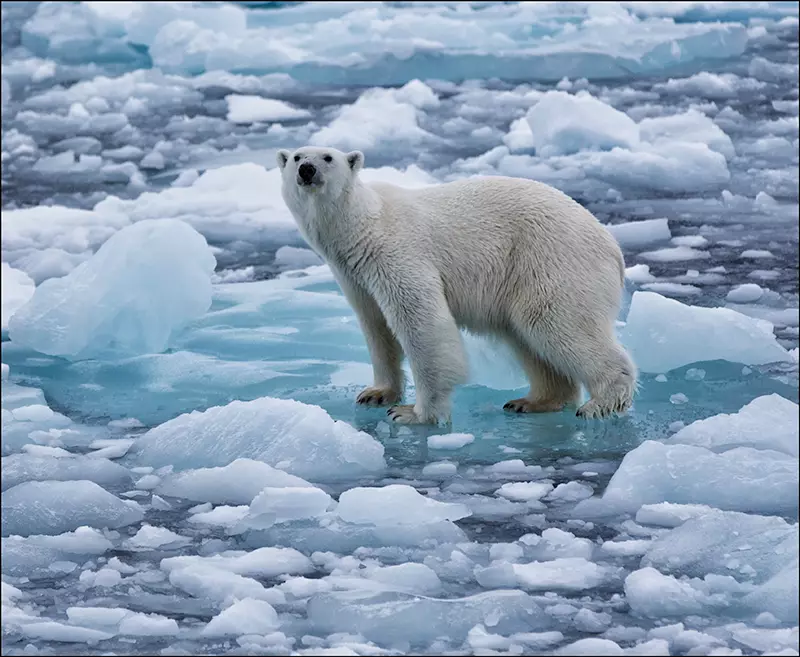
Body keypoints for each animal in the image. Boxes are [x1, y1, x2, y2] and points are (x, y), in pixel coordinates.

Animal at [278, 145, 636, 422]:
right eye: (296, 156)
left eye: (328, 157)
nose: (307, 170)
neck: (363, 225)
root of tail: (612, 246)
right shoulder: (355, 275)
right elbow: (376, 328)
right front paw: (376, 393)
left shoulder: (396, 253)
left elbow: (422, 323)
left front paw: (415, 413)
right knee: (527, 337)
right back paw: (532, 401)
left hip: (552, 260)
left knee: (556, 321)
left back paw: (600, 403)